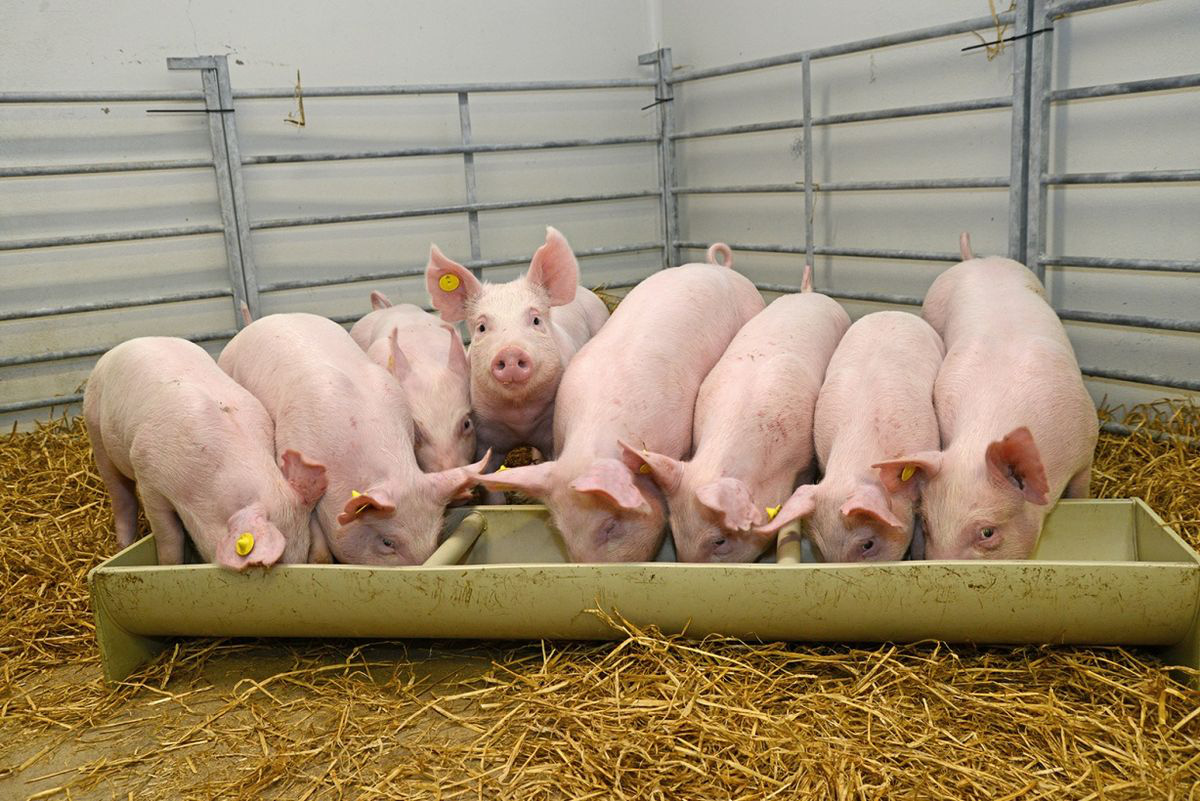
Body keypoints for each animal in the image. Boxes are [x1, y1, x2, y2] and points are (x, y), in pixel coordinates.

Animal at [83, 337, 327, 570]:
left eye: (305, 551)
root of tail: (123, 345)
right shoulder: (149, 481)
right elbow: (170, 539)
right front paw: (170, 564)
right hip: (95, 431)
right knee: (120, 495)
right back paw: (122, 544)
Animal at [424, 227, 610, 469]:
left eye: (536, 320)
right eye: (481, 327)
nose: (511, 351)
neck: (520, 416)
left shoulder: (551, 435)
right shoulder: (485, 439)